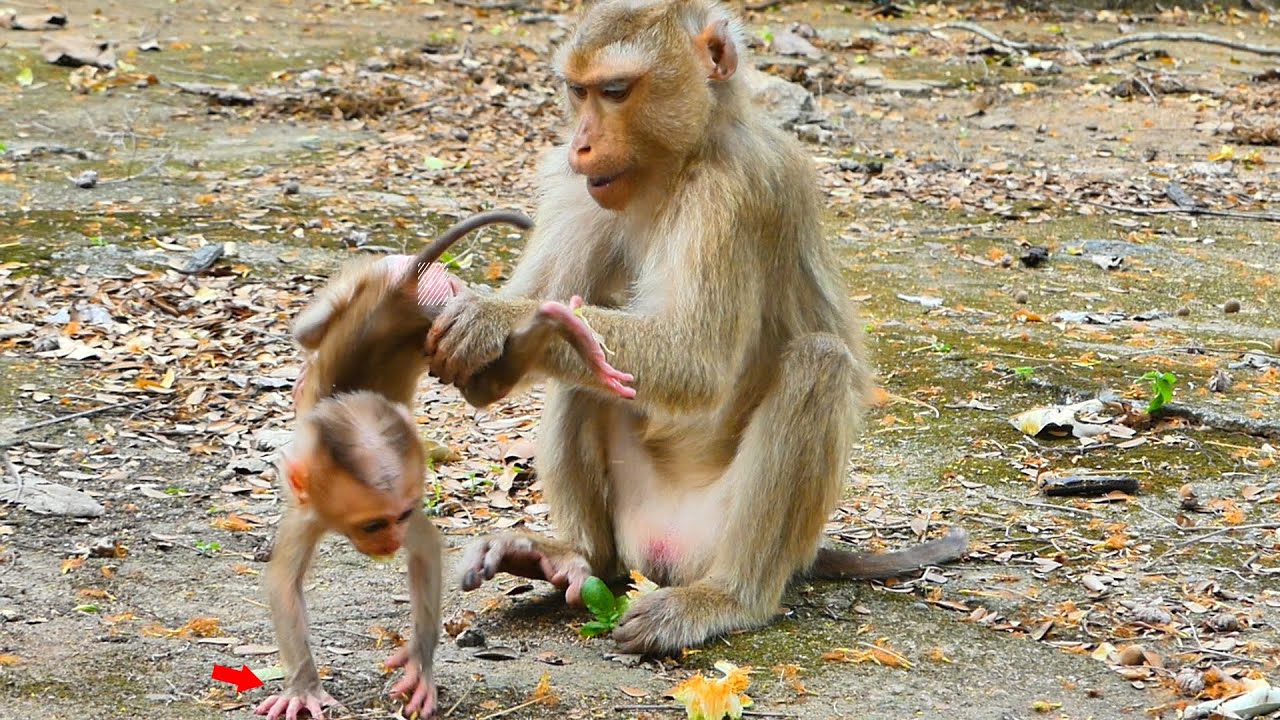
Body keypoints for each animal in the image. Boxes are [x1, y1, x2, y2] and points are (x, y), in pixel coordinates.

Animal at [257, 211, 636, 719]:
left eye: (397, 518)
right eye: (373, 525)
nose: (388, 542)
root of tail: (399, 287)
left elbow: (426, 555)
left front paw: (418, 665)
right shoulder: (309, 511)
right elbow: (284, 583)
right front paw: (302, 685)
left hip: (435, 315)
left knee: (478, 385)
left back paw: (561, 324)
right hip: (421, 305)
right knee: (317, 331)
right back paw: (559, 320)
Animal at [423, 0, 968, 656]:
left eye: (614, 91)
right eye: (578, 92)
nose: (581, 144)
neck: (680, 159)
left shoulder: (733, 196)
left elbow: (695, 363)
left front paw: (493, 317)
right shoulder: (580, 190)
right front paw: (494, 341)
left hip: (718, 534)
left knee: (819, 360)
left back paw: (729, 598)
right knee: (587, 378)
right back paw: (577, 558)